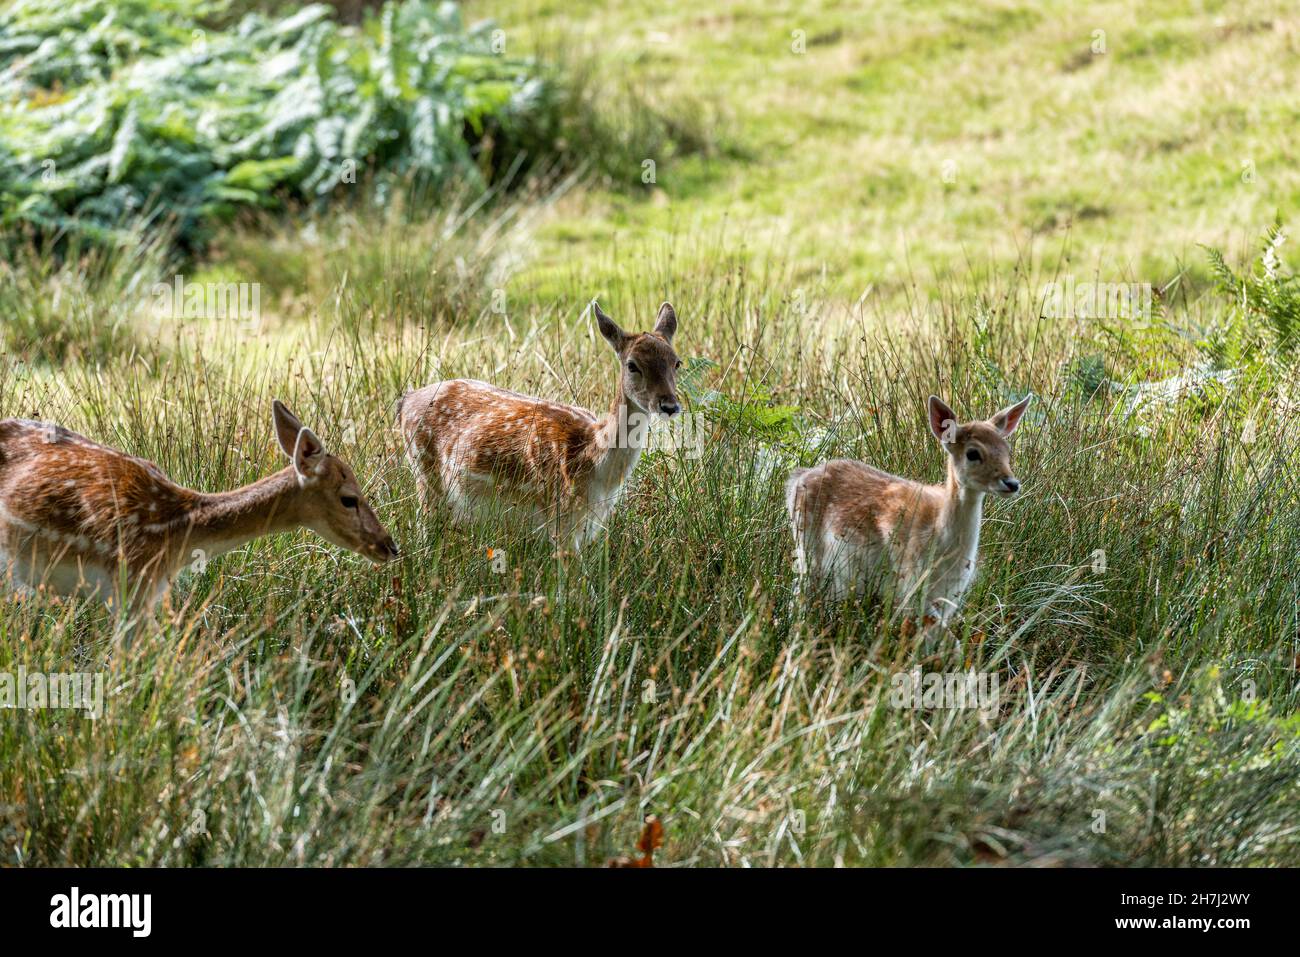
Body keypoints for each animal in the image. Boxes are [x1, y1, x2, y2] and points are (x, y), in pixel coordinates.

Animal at [398, 300, 682, 551]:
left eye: (676, 362)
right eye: (632, 365)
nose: (669, 405)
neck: (595, 466)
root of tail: (405, 401)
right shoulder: (561, 519)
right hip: (424, 476)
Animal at [786, 394, 1031, 633]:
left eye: (1008, 450)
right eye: (972, 453)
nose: (1012, 483)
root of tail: (797, 478)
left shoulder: (950, 596)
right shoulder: (911, 584)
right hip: (808, 548)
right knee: (799, 594)